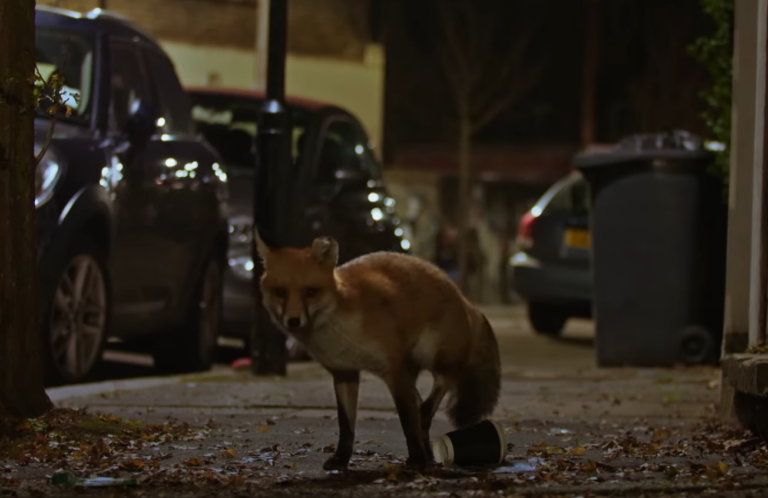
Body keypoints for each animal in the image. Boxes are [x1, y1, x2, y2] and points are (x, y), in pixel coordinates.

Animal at [254, 233, 501, 470]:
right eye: (280, 292)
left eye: (311, 291)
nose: (293, 321)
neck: (341, 332)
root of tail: (463, 296)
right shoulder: (344, 373)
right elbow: (346, 425)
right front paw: (341, 460)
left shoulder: (393, 370)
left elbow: (406, 421)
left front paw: (416, 460)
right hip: (411, 371)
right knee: (421, 404)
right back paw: (430, 452)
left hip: (432, 356)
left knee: (441, 386)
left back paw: (425, 438)